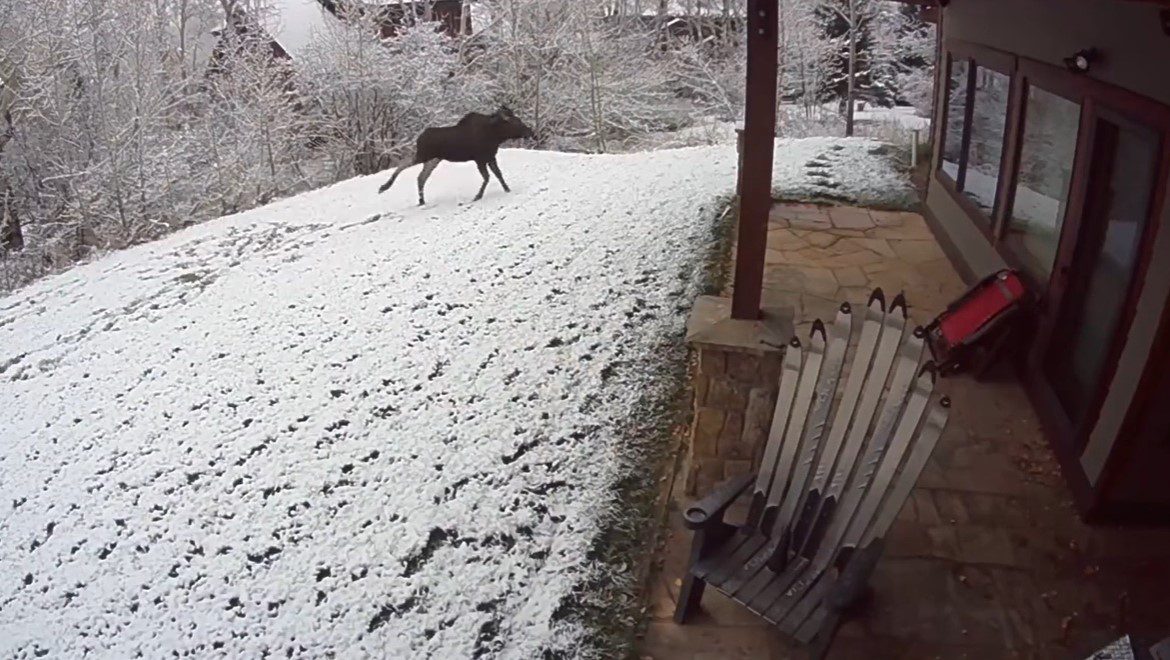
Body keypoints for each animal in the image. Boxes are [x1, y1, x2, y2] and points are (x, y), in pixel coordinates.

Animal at [378, 107, 535, 206]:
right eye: (516, 121)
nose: (530, 131)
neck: (496, 136)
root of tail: (419, 137)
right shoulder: (480, 159)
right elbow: (487, 177)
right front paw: (477, 196)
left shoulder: (490, 157)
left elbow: (498, 174)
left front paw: (507, 189)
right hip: (423, 155)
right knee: (403, 164)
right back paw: (384, 187)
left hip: (434, 159)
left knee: (421, 176)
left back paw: (421, 200)